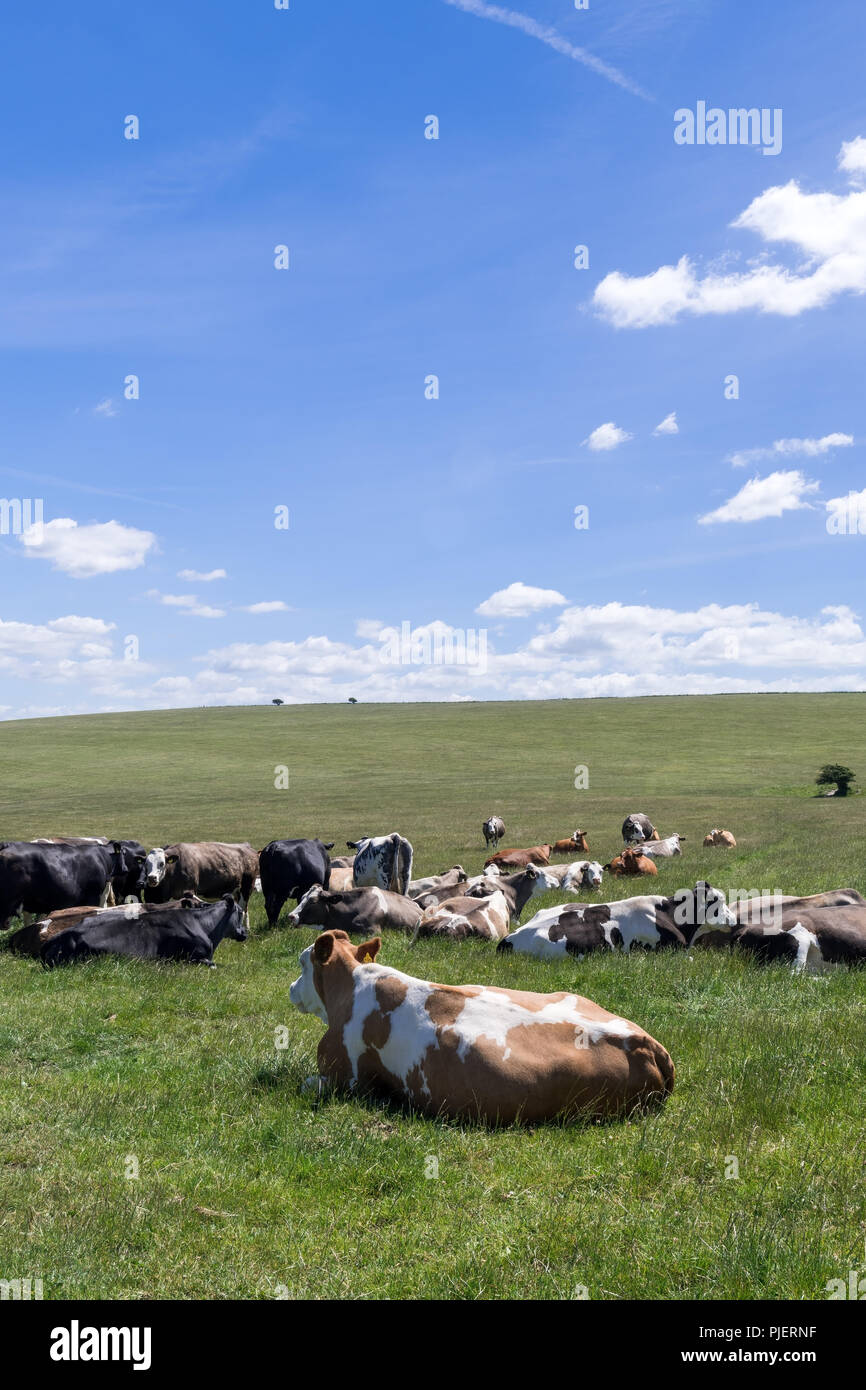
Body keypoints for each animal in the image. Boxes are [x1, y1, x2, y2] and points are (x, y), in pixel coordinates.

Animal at [289, 931, 675, 1123]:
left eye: (302, 962)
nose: (291, 988)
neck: (352, 986)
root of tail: (647, 1043)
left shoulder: (346, 1080)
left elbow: (307, 1084)